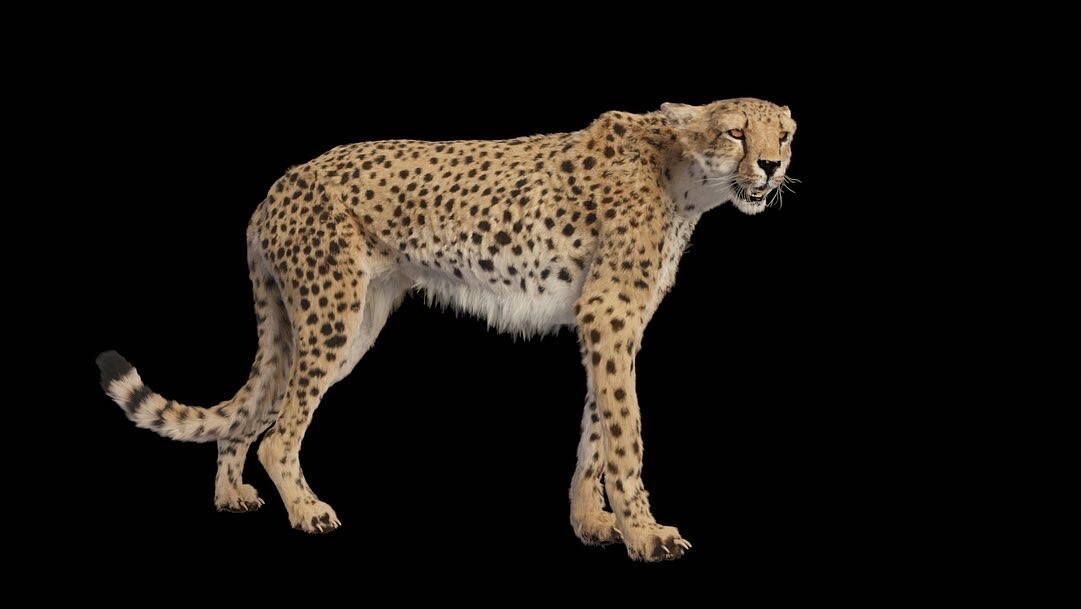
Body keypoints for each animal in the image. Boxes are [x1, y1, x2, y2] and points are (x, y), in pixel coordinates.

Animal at [97, 97, 796, 562]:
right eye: (736, 132)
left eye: (785, 135)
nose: (769, 166)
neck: (685, 174)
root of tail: (279, 184)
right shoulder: (610, 315)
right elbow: (627, 433)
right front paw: (645, 534)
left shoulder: (608, 322)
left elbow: (597, 428)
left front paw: (592, 522)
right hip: (332, 314)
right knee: (280, 430)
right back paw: (307, 511)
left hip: (342, 325)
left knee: (250, 413)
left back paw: (230, 495)